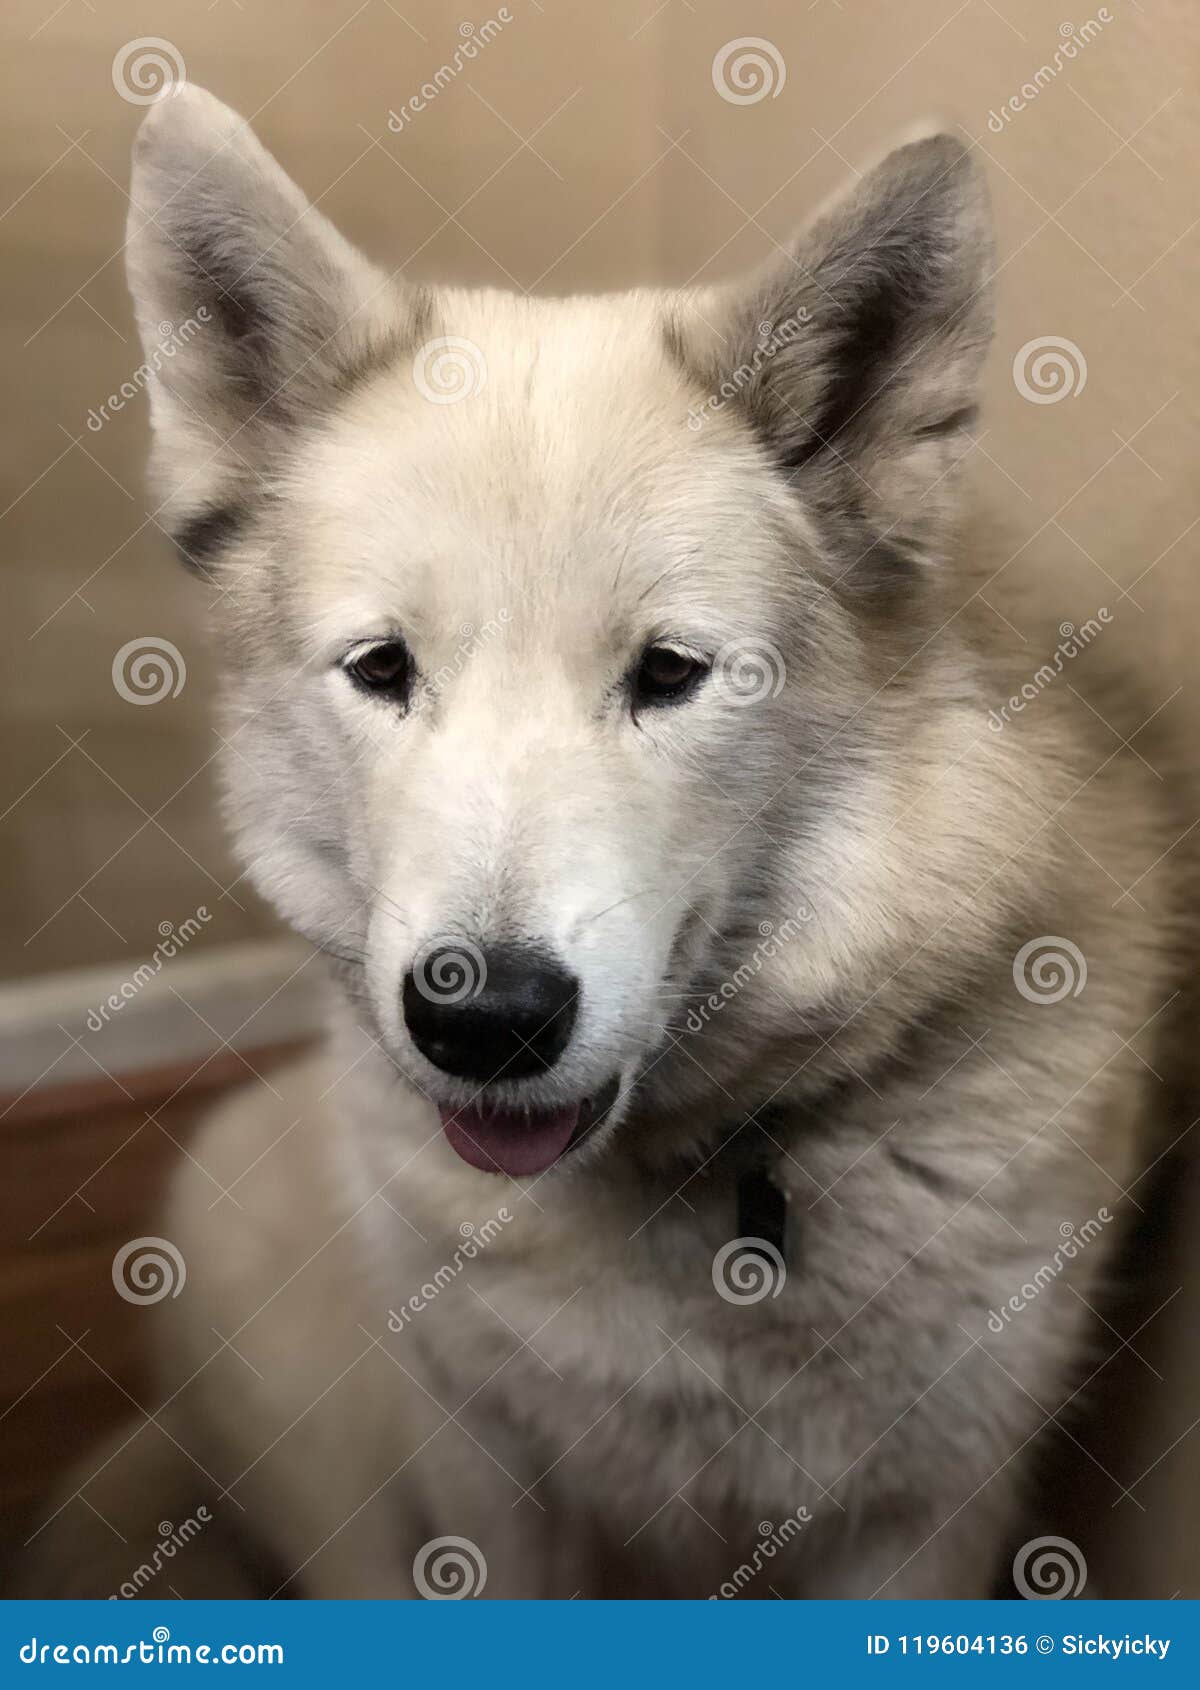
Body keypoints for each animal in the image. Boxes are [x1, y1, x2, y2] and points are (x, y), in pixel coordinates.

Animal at [23, 86, 1191, 1599]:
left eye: (670, 674)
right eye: (384, 669)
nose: (485, 1019)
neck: (713, 1168)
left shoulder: (923, 1523)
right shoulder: (489, 1484)